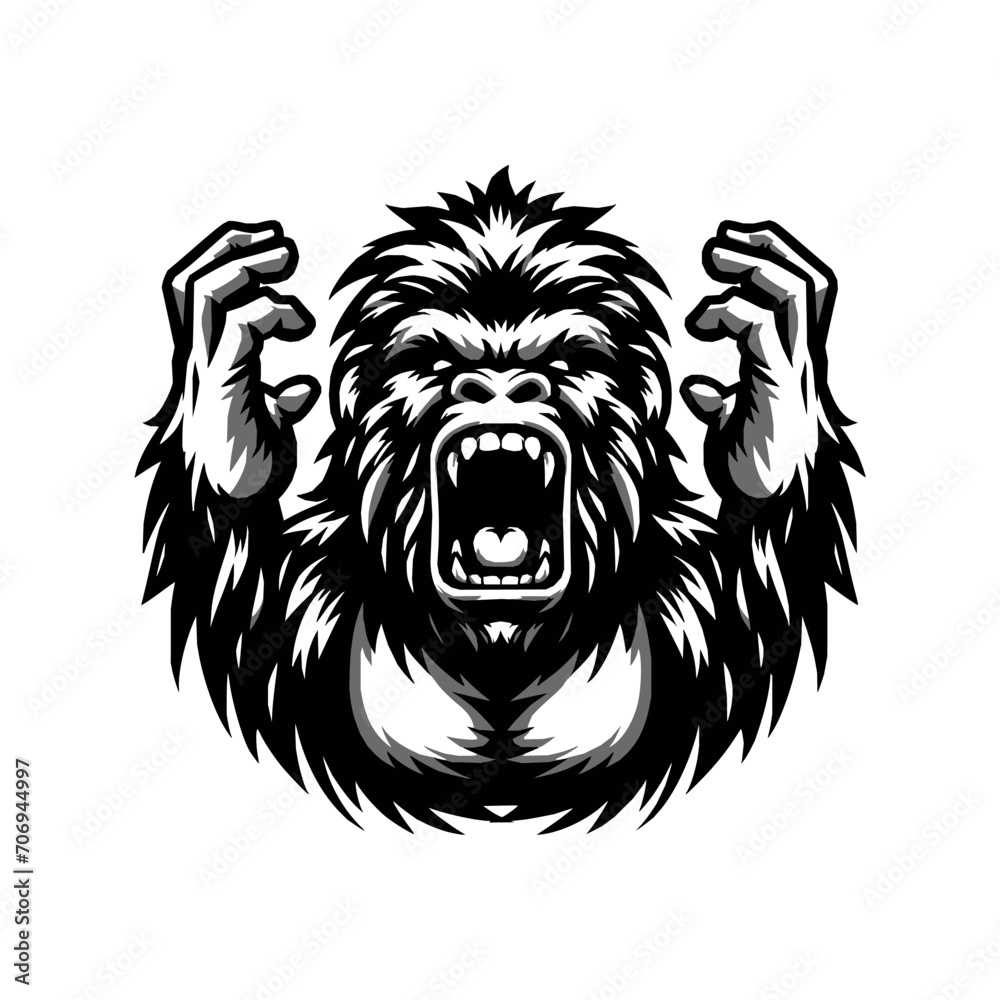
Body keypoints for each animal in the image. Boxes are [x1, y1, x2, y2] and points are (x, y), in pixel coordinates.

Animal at [140, 167, 860, 832]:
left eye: (566, 365)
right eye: (434, 364)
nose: (500, 384)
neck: (501, 641)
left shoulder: (683, 612)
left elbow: (750, 601)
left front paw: (772, 394)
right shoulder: (318, 611)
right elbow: (252, 600)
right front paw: (227, 394)